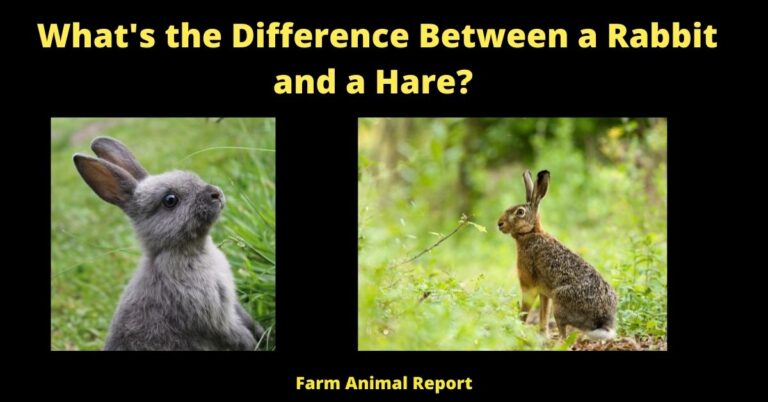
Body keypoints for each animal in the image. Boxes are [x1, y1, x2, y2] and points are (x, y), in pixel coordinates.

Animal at [73, 136, 264, 350]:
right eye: (170, 200)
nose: (216, 194)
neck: (191, 250)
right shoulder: (216, 320)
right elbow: (238, 335)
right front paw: (256, 343)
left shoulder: (230, 306)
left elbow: (247, 320)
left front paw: (263, 333)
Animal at [498, 170, 617, 341]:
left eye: (519, 212)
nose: (499, 224)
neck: (530, 233)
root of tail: (601, 321)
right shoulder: (544, 293)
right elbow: (543, 314)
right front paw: (542, 335)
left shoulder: (529, 285)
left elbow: (525, 310)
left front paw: (517, 329)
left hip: (559, 302)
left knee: (563, 334)